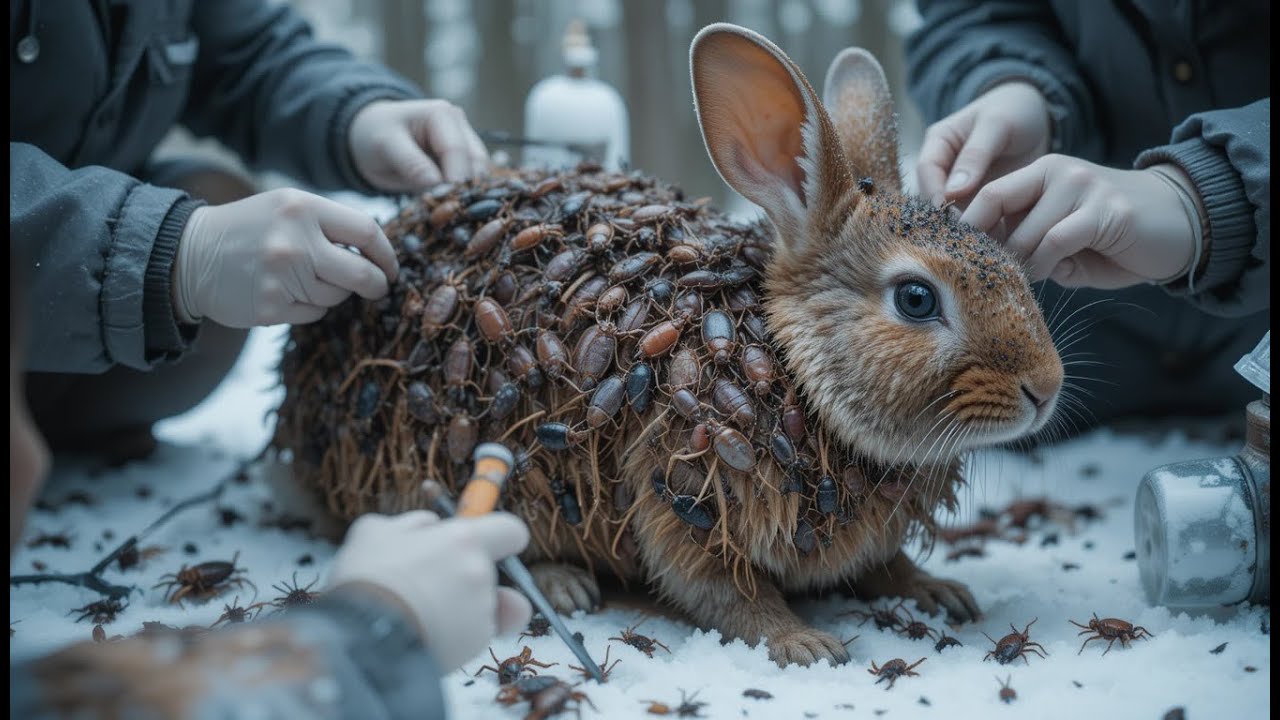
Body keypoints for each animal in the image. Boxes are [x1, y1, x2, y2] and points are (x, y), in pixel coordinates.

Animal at [276, 23, 1063, 669]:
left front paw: (934, 588)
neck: (786, 368)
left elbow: (885, 565)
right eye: (916, 299)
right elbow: (721, 592)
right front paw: (800, 641)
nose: (1046, 386)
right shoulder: (676, 488)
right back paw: (563, 582)